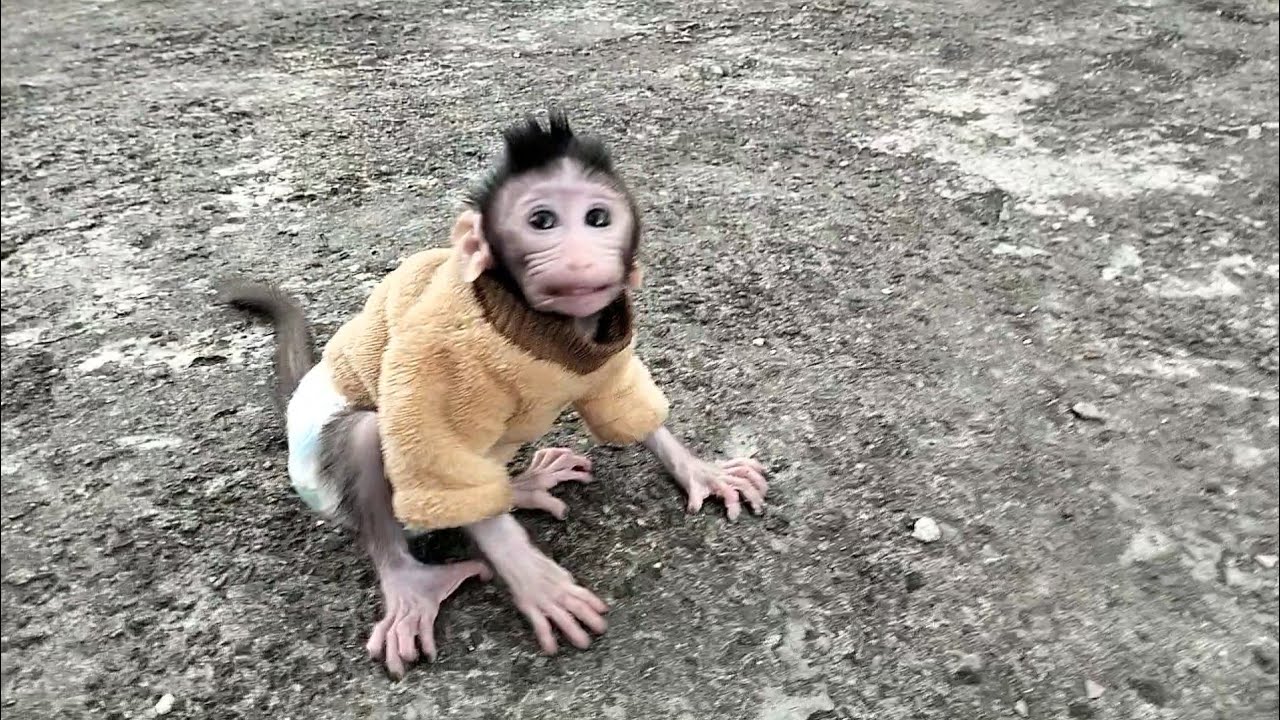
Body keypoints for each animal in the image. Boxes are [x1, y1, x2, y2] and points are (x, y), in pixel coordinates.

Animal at [217, 110, 768, 678]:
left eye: (598, 218)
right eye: (542, 221)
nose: (579, 256)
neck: (537, 327)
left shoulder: (603, 341)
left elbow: (622, 402)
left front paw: (700, 470)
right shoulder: (441, 349)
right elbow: (437, 453)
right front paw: (535, 580)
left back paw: (522, 487)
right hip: (319, 474)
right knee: (371, 434)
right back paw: (410, 584)